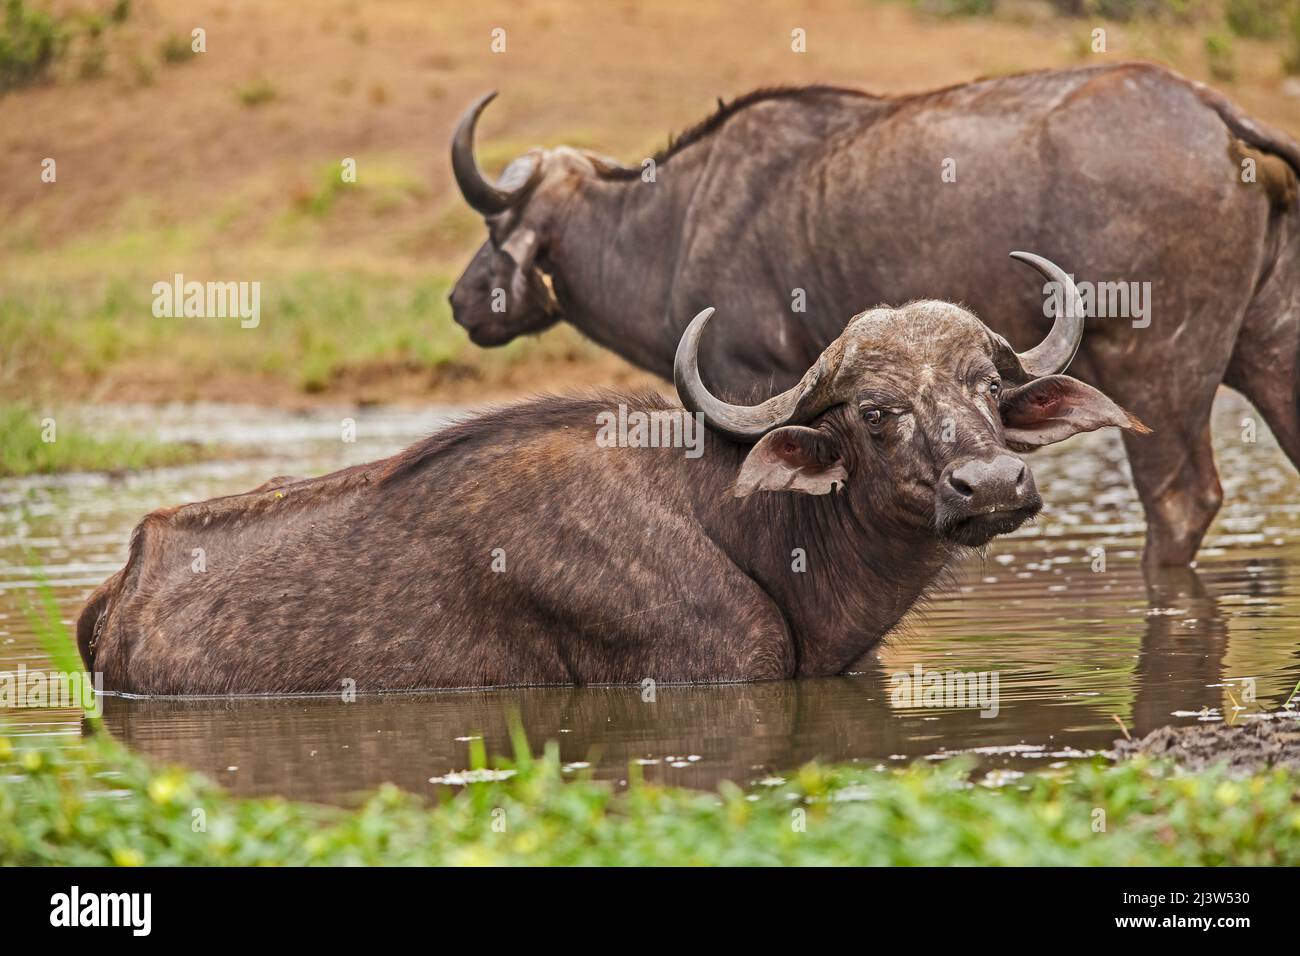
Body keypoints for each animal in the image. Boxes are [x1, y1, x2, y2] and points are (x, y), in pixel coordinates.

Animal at [448, 62, 1300, 571]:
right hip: (1269, 349)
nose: (460, 300)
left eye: (494, 228)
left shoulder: (745, 379)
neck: (672, 224)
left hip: (1158, 371)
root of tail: (1208, 108)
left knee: (1180, 502)